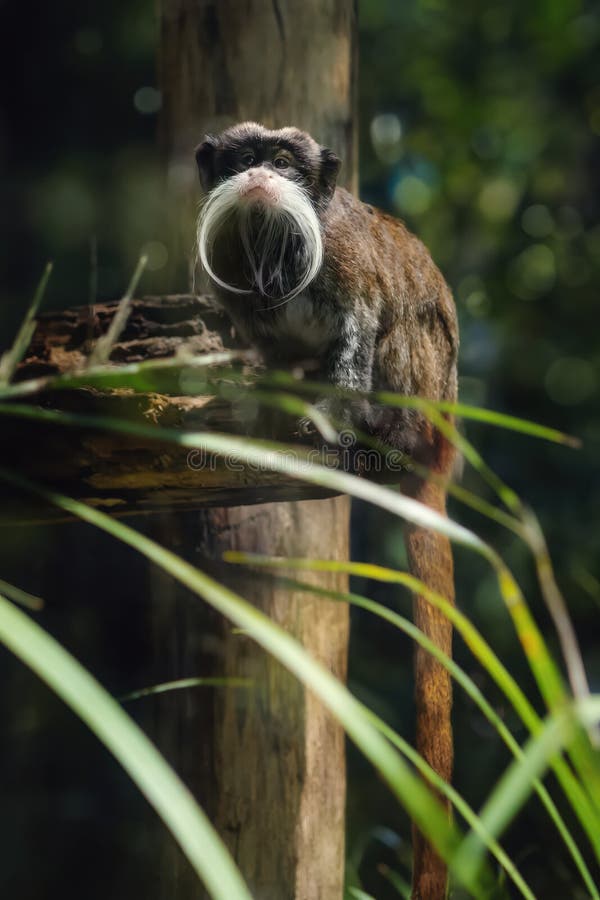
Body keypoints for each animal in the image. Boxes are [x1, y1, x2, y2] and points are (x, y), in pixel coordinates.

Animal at [195, 121, 458, 900]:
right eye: (244, 161)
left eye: (284, 164)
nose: (261, 177)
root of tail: (441, 451)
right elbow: (267, 353)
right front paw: (262, 400)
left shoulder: (343, 266)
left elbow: (361, 327)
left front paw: (333, 417)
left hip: (422, 387)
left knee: (401, 330)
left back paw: (373, 430)